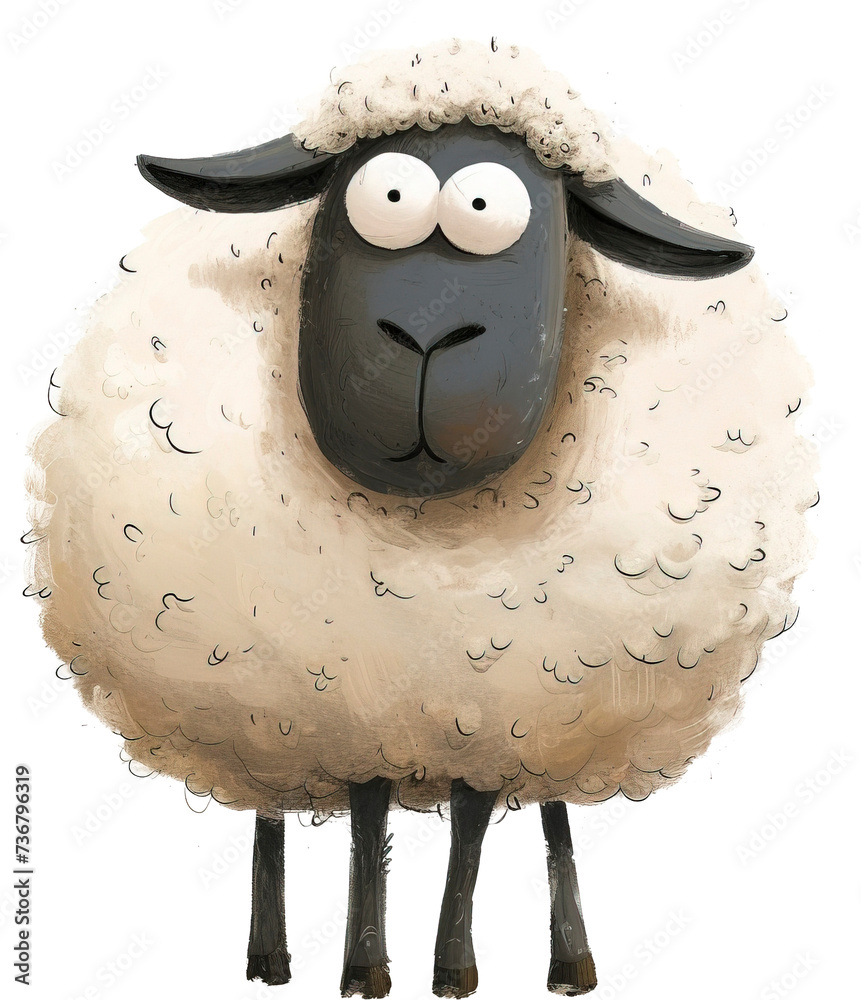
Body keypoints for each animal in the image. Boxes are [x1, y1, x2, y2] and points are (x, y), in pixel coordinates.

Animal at [25, 37, 815, 999]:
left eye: (489, 209)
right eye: (384, 200)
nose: (425, 343)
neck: (425, 565)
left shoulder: (480, 705)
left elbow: (473, 820)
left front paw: (452, 967)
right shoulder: (356, 696)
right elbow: (367, 815)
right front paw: (365, 966)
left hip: (556, 699)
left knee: (550, 809)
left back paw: (571, 960)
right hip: (266, 704)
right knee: (271, 807)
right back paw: (269, 956)